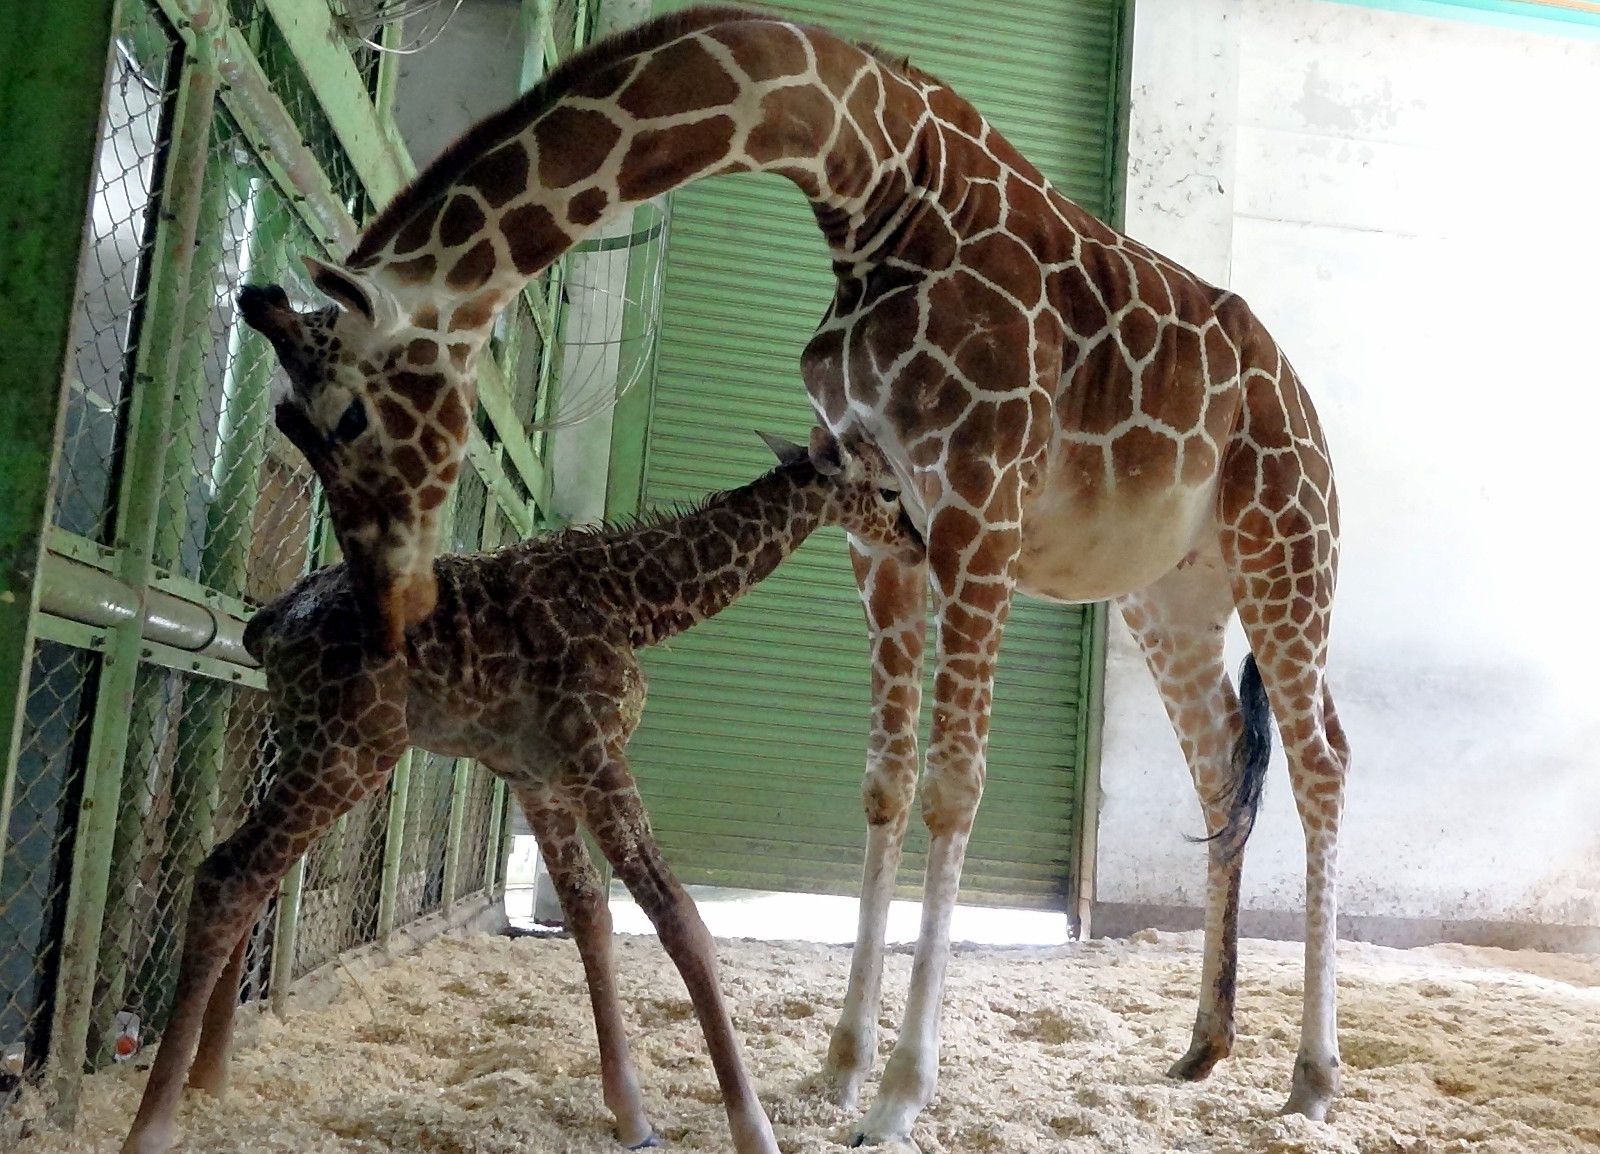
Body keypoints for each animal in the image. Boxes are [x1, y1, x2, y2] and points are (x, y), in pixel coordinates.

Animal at [118, 427, 923, 1154]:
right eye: (889, 489)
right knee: (228, 873)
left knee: (252, 872)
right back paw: (151, 1126)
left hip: (309, 739)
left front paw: (632, 1116)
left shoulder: (539, 773)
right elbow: (678, 918)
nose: (919, 545)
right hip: (353, 747)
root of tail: (266, 625)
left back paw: (210, 1080)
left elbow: (591, 914)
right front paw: (753, 1130)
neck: (636, 603)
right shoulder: (595, 751)